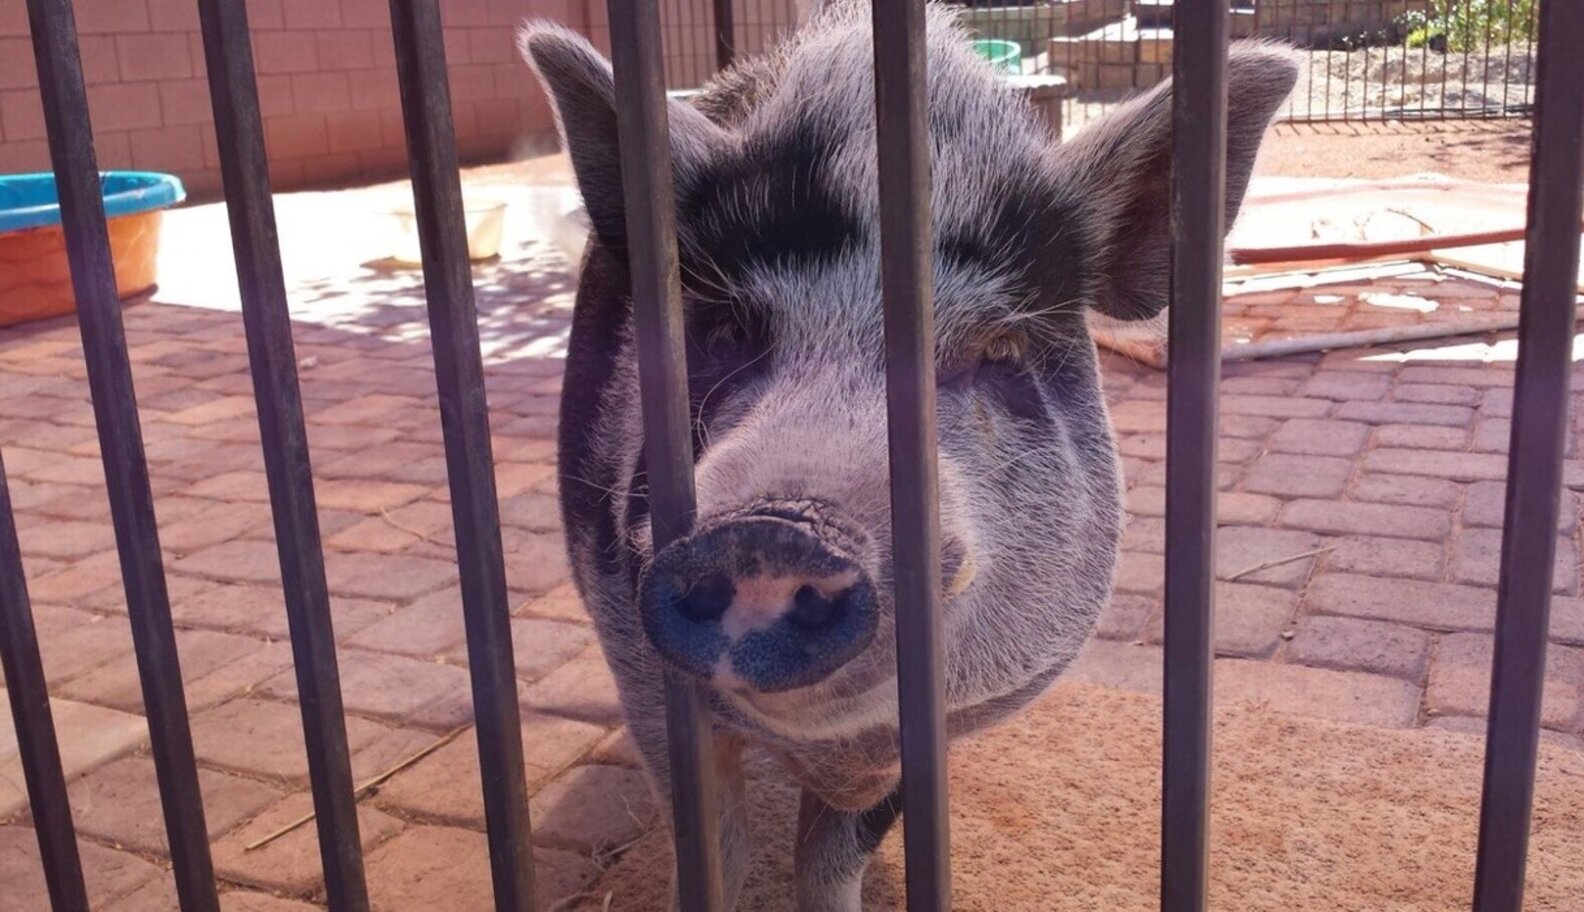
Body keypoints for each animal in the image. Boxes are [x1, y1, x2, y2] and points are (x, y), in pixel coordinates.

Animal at [520, 3, 1296, 908]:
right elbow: (715, 843)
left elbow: (832, 857)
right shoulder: (638, 670)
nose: (775, 527)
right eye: (728, 332)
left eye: (997, 350)